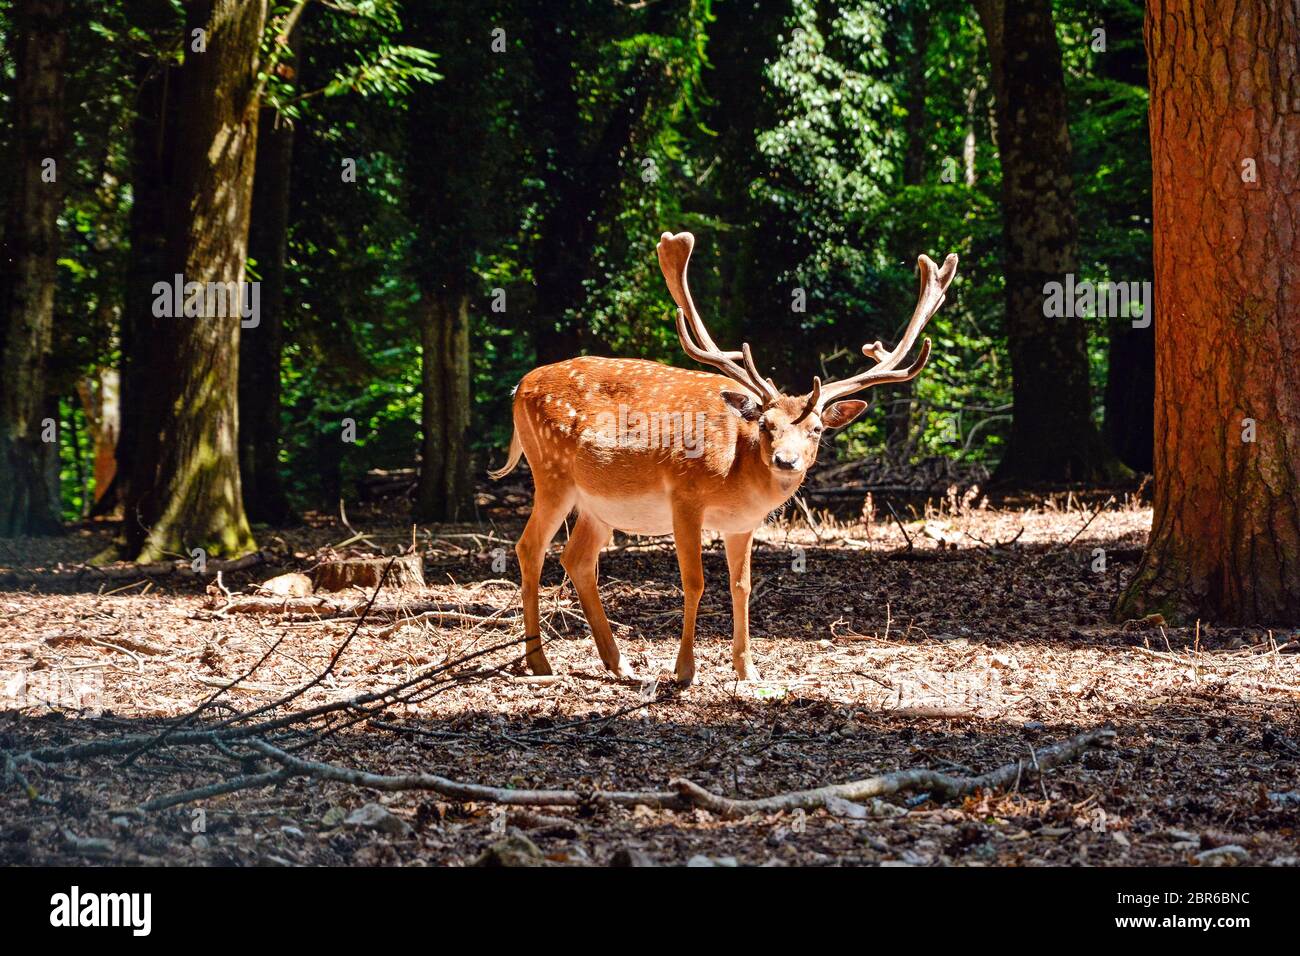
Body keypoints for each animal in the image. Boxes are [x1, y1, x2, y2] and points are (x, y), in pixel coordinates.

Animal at [490, 231, 958, 685]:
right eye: (766, 424)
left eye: (817, 429)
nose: (786, 461)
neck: (738, 474)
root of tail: (518, 388)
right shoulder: (684, 497)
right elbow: (694, 582)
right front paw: (684, 670)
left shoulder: (742, 524)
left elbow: (742, 585)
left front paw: (748, 669)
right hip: (551, 473)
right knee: (529, 547)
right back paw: (539, 663)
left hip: (597, 505)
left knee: (577, 558)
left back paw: (618, 663)